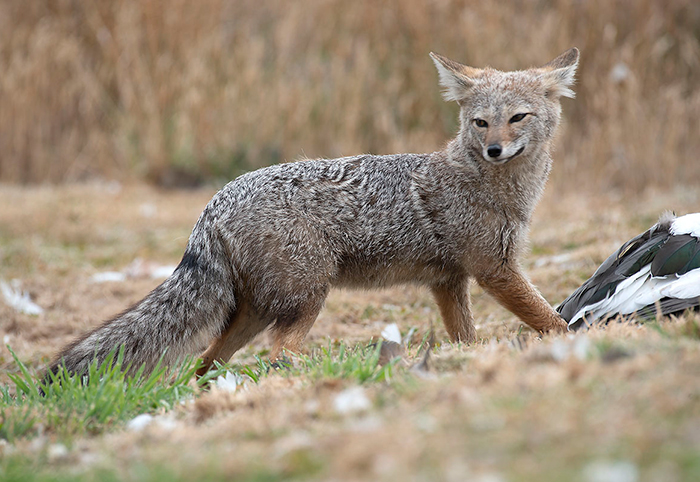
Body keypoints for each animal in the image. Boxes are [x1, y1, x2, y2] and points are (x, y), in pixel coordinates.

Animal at [48, 47, 579, 380]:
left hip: (257, 311)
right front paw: (578, 342)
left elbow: (466, 337)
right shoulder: (496, 270)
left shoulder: (448, 282)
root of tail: (214, 203)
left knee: (208, 359)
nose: (493, 150)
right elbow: (551, 319)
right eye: (481, 122)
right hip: (307, 297)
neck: (495, 188)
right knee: (280, 352)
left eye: (518, 118)